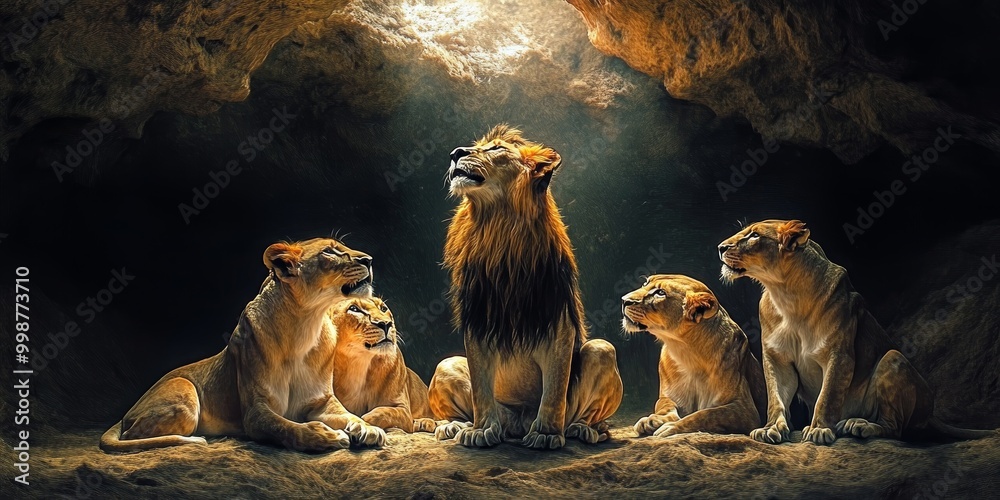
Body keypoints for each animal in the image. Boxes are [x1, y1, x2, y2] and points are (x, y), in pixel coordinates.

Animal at [100, 238, 387, 453]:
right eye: (329, 251)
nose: (370, 260)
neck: (305, 325)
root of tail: (127, 412)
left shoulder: (322, 401)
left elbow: (348, 413)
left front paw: (368, 428)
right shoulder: (255, 412)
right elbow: (287, 428)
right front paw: (326, 436)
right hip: (183, 395)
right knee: (132, 437)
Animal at [329, 296, 439, 433]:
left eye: (383, 308)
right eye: (354, 309)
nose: (386, 324)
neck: (359, 363)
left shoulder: (403, 409)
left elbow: (384, 412)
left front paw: (365, 421)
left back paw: (425, 423)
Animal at [432, 124, 623, 449]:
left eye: (496, 149)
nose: (456, 152)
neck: (500, 229)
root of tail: (517, 426)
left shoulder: (558, 325)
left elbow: (554, 390)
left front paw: (546, 434)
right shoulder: (478, 323)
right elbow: (481, 391)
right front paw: (481, 430)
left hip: (602, 351)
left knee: (590, 410)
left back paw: (585, 430)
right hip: (447, 365)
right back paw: (455, 426)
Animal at [622, 274, 766, 437]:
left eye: (660, 293)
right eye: (645, 283)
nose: (623, 300)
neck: (686, 351)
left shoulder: (745, 409)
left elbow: (706, 414)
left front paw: (671, 426)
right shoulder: (668, 395)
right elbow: (663, 403)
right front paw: (652, 420)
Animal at [719, 219, 997, 444]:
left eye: (754, 235)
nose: (721, 247)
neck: (786, 294)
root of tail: (930, 414)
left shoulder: (840, 354)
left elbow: (828, 396)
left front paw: (819, 430)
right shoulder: (777, 359)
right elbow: (776, 397)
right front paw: (770, 428)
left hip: (892, 358)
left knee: (895, 429)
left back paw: (858, 425)